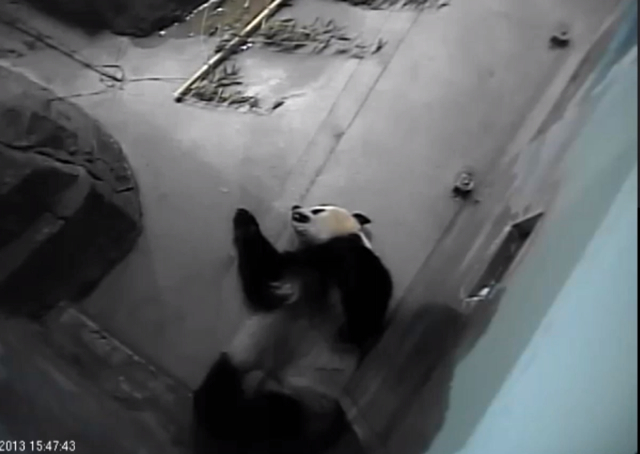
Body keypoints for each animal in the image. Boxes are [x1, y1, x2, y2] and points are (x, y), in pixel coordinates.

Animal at [193, 205, 393, 452]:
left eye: (318, 209)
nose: (296, 208)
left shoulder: (347, 264)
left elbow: (361, 322)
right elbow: (267, 280)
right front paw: (245, 218)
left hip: (308, 397)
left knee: (271, 417)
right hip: (246, 360)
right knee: (225, 387)